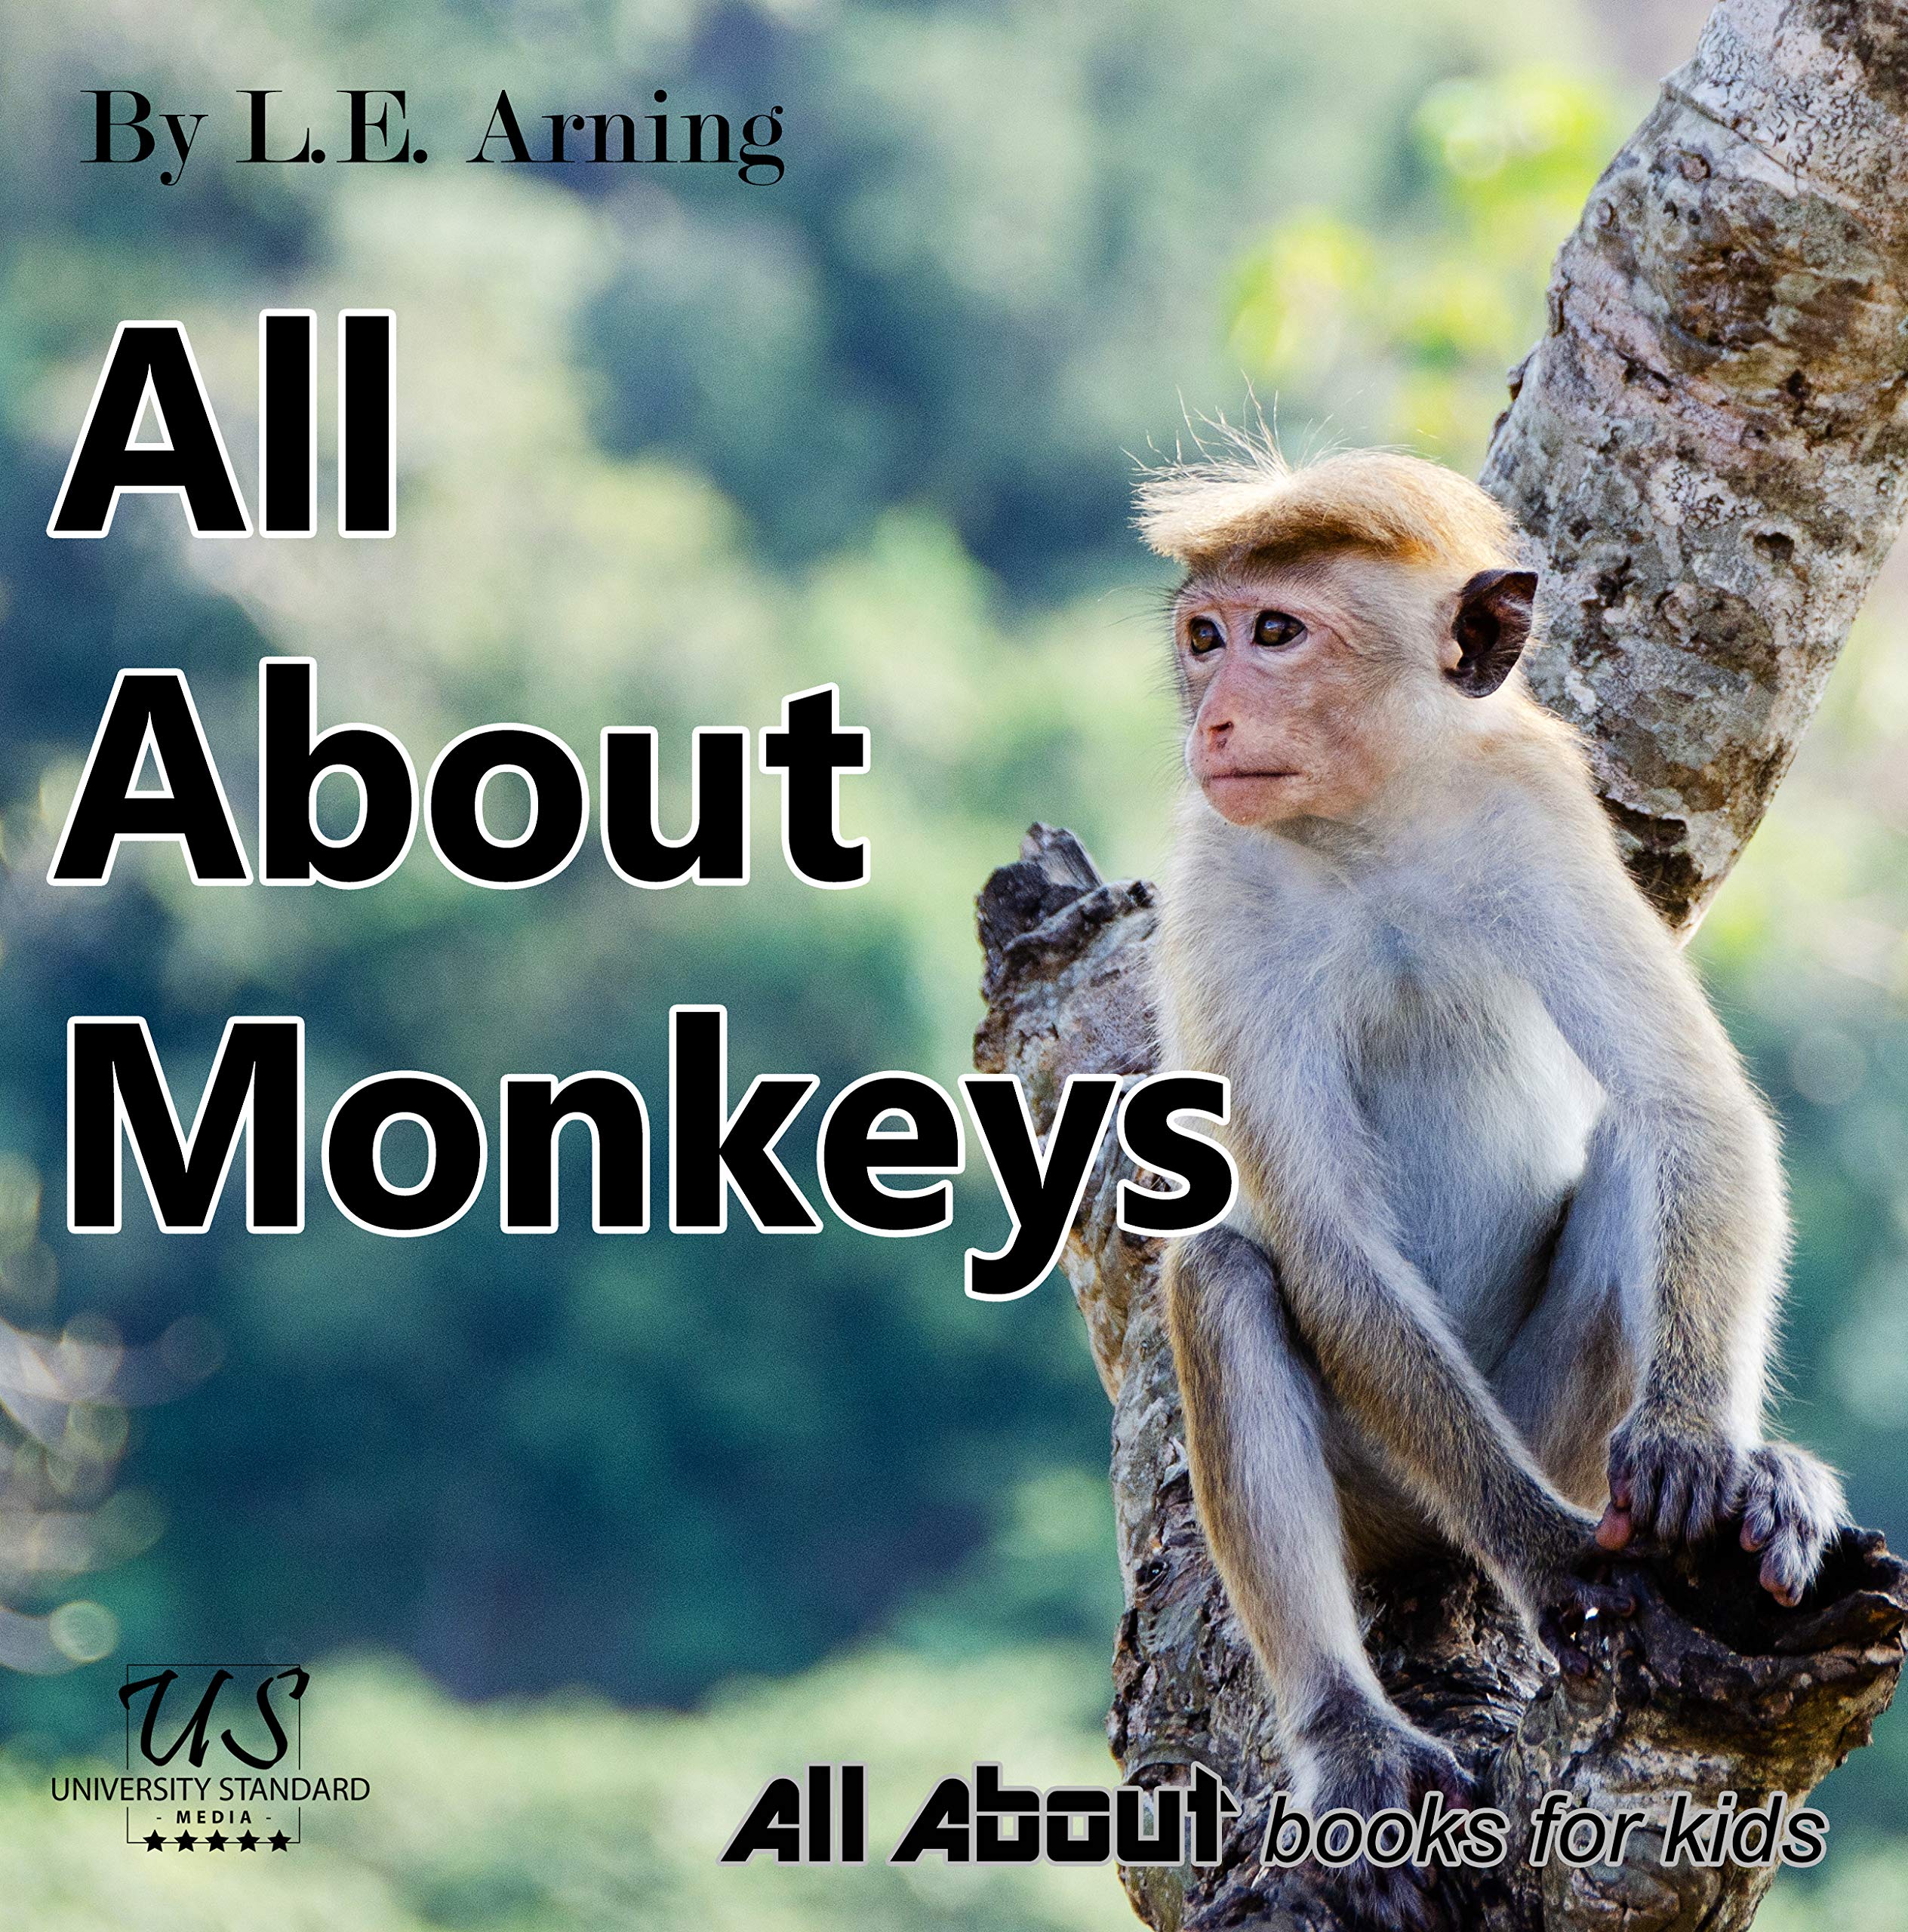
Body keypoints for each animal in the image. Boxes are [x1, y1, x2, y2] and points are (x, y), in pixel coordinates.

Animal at [1139, 441, 1846, 1898]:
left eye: (1275, 635)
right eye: (1204, 638)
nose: (1215, 720)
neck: (1370, 829)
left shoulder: (1537, 813)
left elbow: (1688, 1106)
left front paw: (1702, 1450)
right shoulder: (1218, 891)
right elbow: (1325, 1239)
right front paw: (1549, 1557)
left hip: (1553, 1418)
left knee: (1636, 1148)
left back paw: (1753, 1477)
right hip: (1388, 1481)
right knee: (1225, 1269)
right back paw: (1352, 1731)